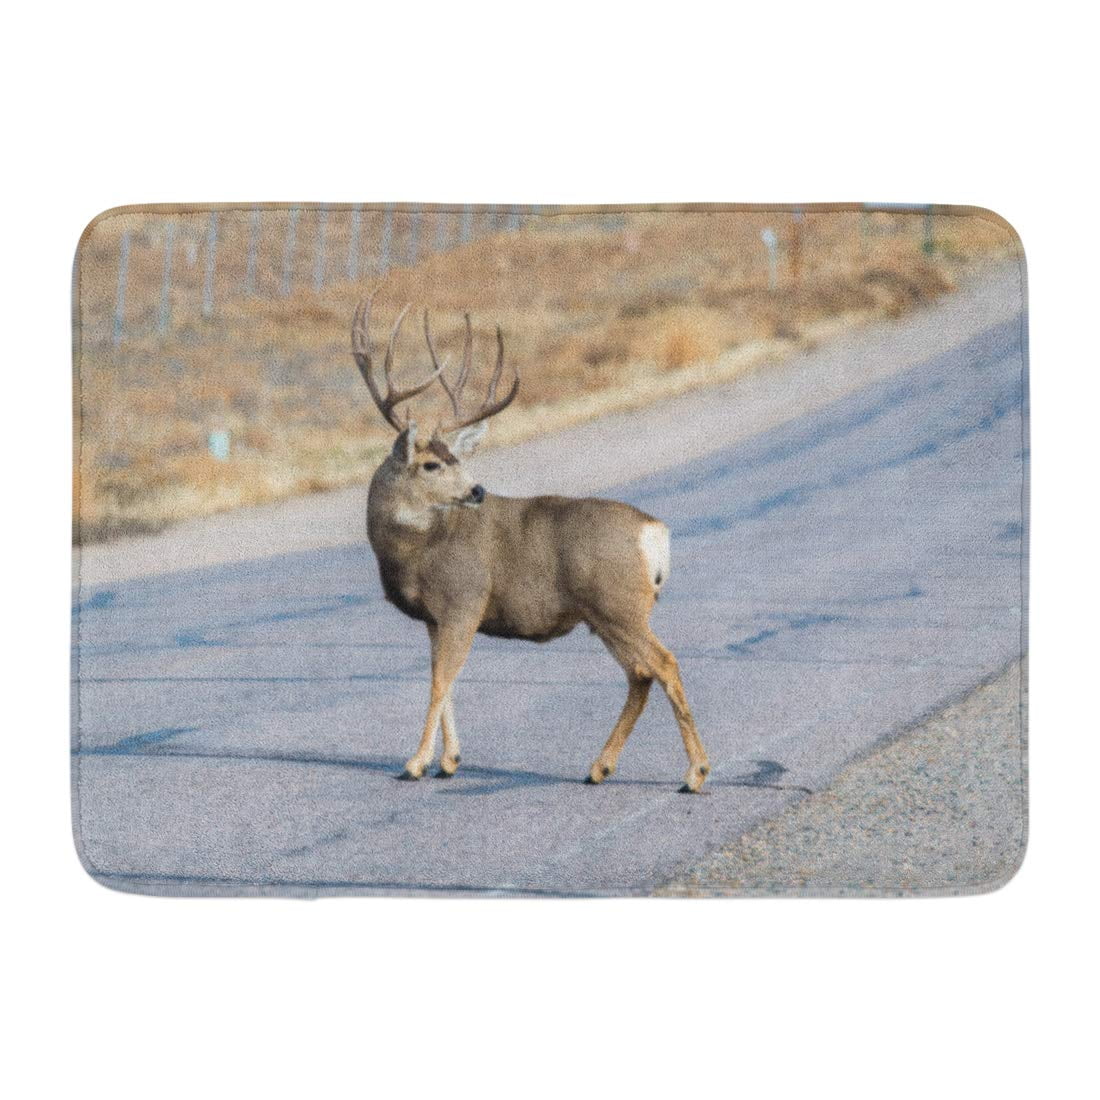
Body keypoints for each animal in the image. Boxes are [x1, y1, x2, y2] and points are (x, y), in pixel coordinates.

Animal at [351, 294, 711, 792]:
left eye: (454, 459)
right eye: (432, 464)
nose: (477, 490)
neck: (415, 550)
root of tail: (654, 531)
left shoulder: (464, 600)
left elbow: (440, 682)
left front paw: (416, 763)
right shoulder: (435, 617)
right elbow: (445, 681)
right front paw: (449, 761)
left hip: (619, 604)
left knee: (665, 663)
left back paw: (694, 773)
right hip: (603, 615)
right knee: (640, 675)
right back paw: (599, 767)